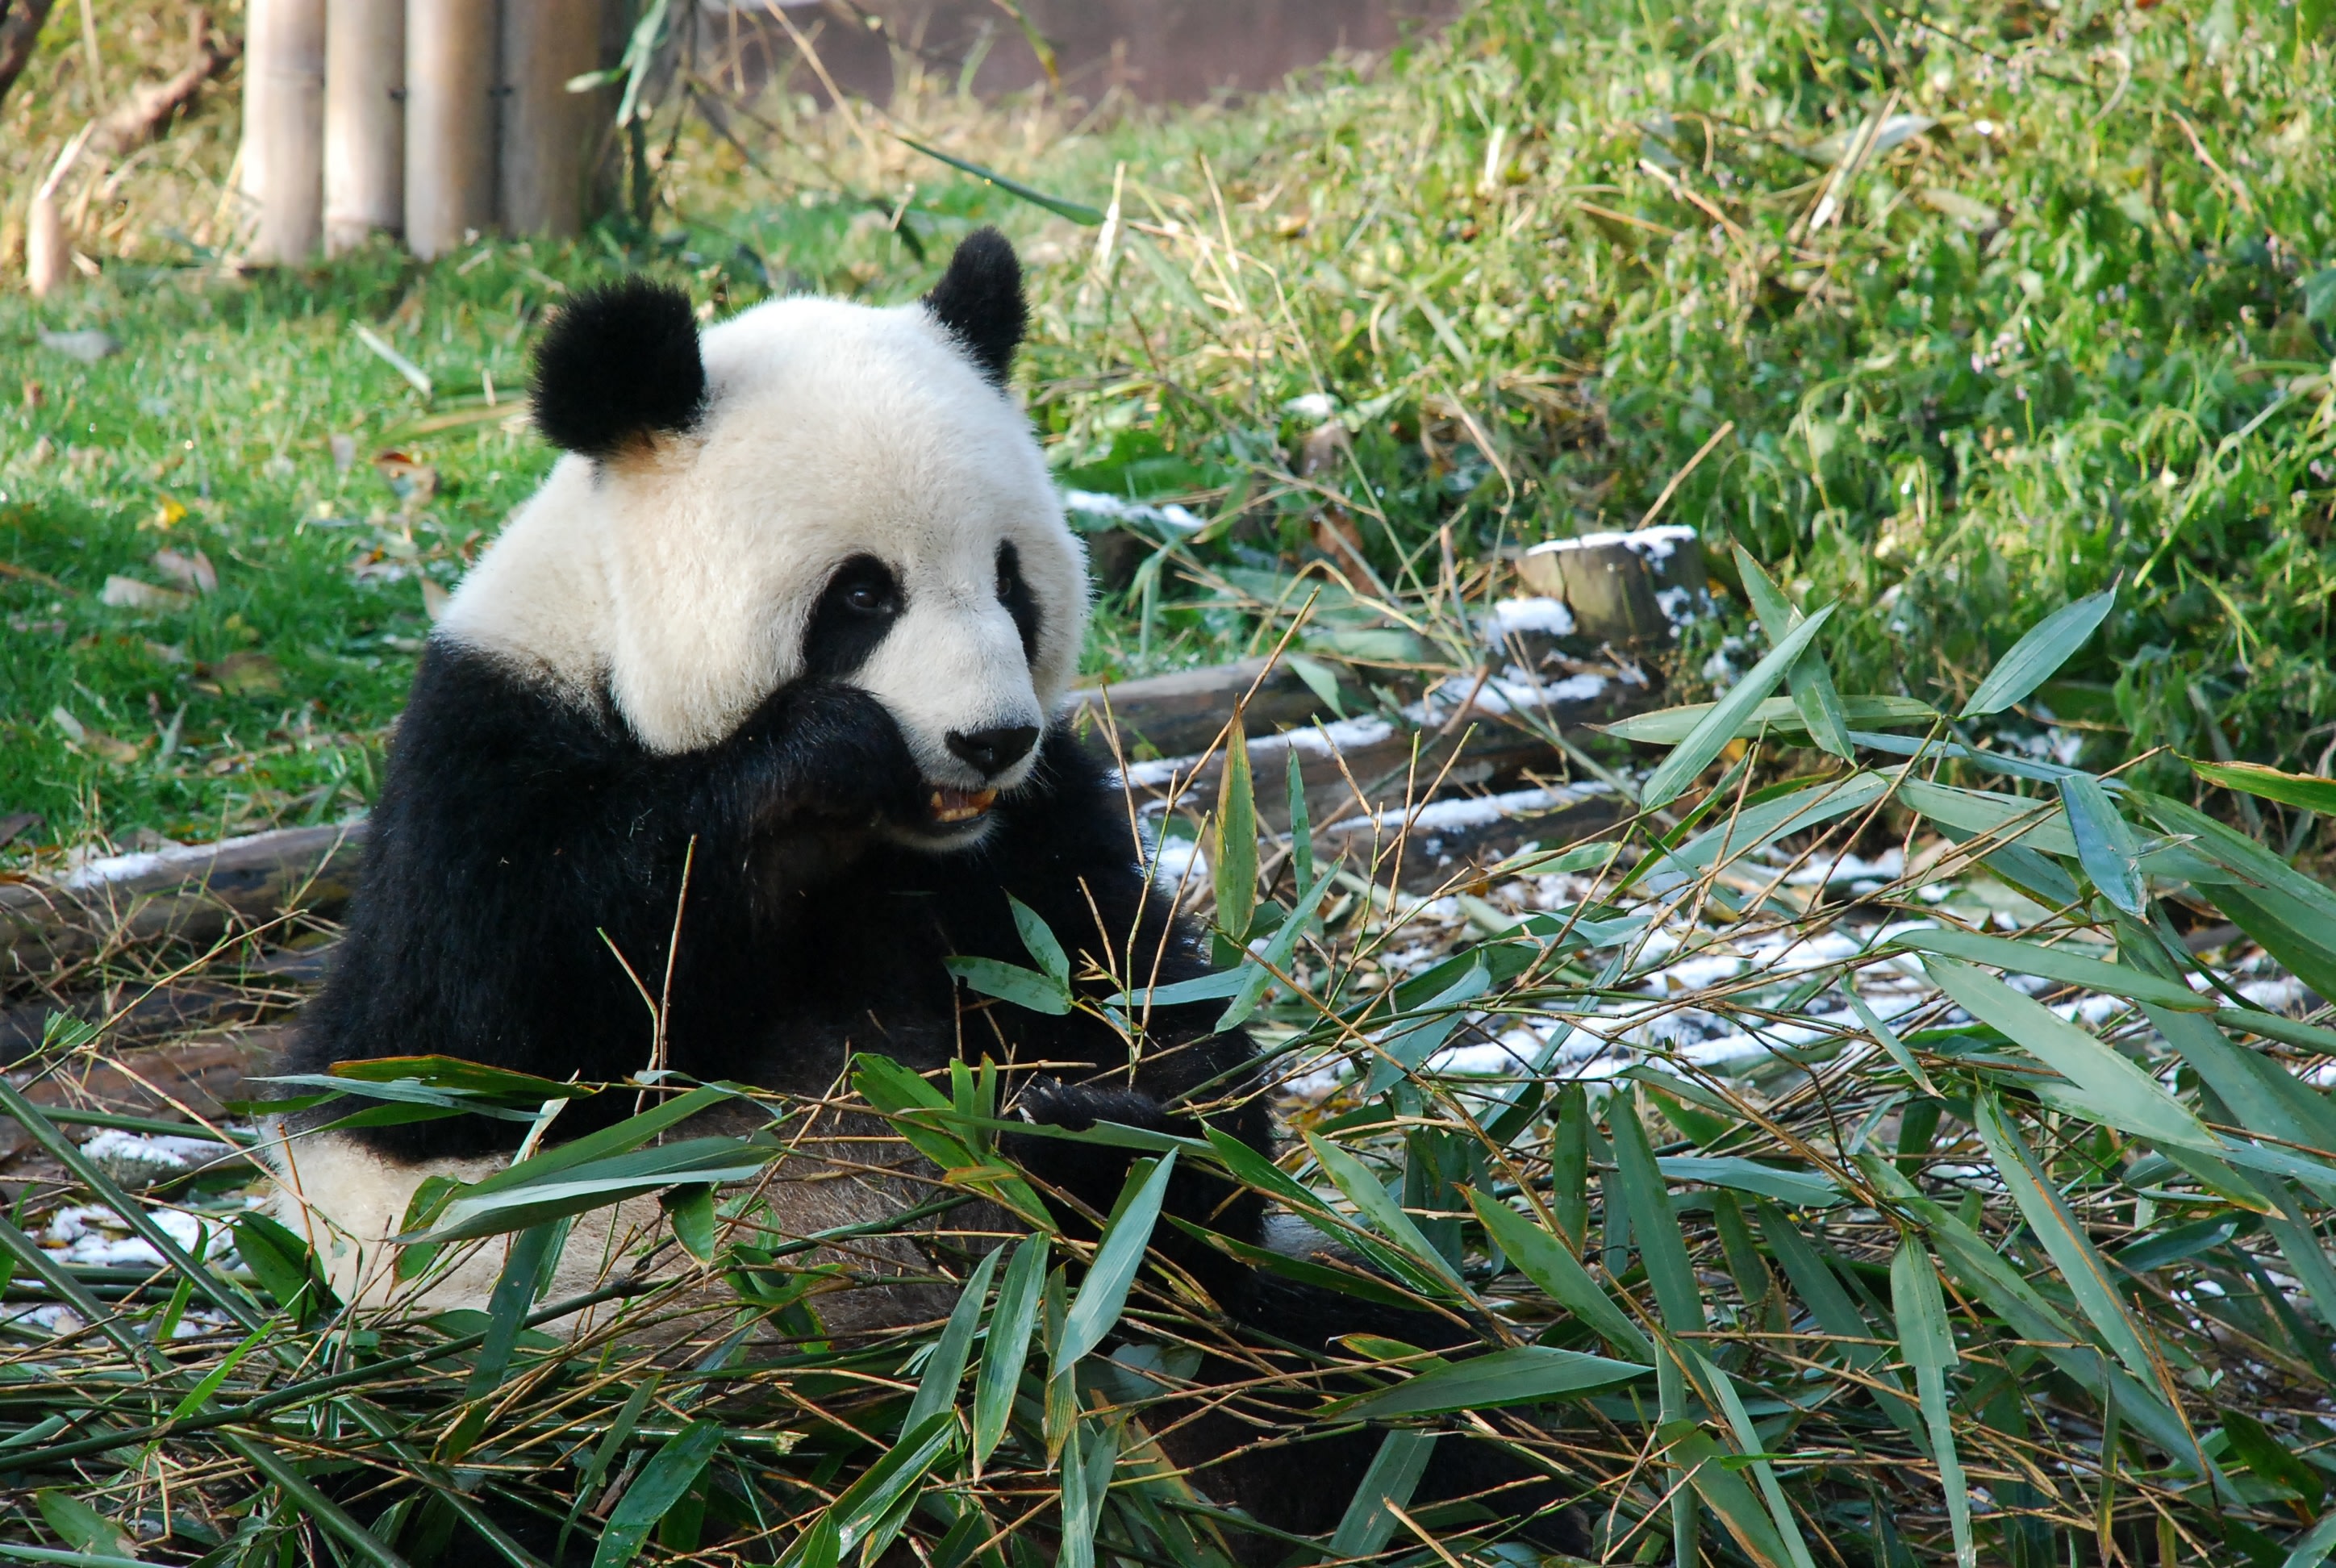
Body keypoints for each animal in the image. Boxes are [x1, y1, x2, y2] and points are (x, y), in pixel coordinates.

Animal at [264, 229, 1584, 1560]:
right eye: (862, 594)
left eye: (1011, 579)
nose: (988, 738)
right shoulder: (484, 767)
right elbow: (475, 1044)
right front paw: (815, 760)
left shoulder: (1033, 836)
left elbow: (1147, 1013)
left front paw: (1103, 1129)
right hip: (573, 1402)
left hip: (1225, 1352)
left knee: (1389, 1378)